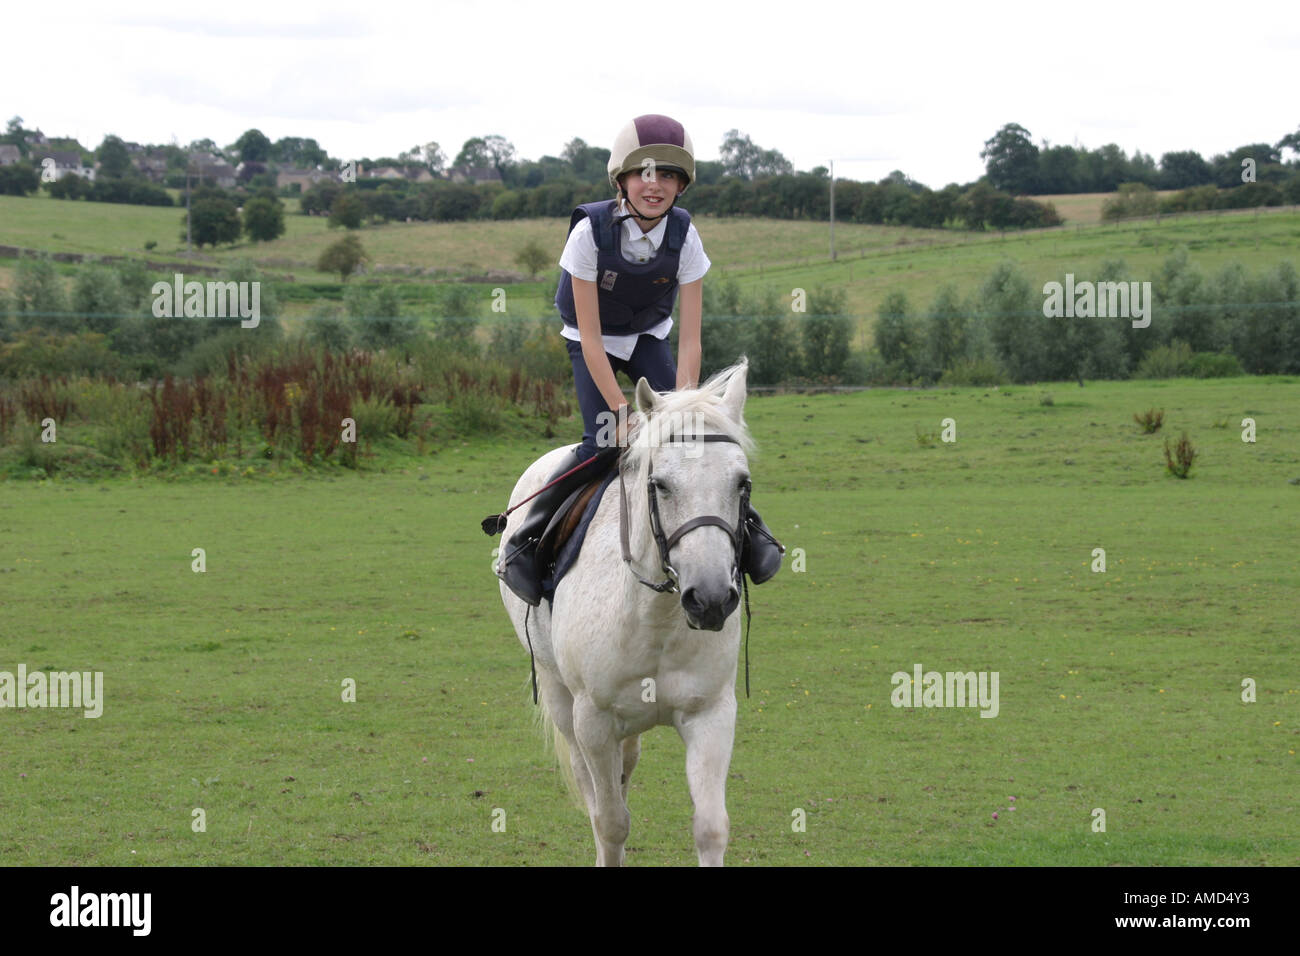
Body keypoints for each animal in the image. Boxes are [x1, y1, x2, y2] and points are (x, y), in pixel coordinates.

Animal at [496, 360, 759, 866]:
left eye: (742, 483)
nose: (710, 598)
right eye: (660, 485)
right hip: (560, 696)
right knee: (593, 789)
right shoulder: (593, 722)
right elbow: (611, 823)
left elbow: (711, 827)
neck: (656, 617)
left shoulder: (711, 714)